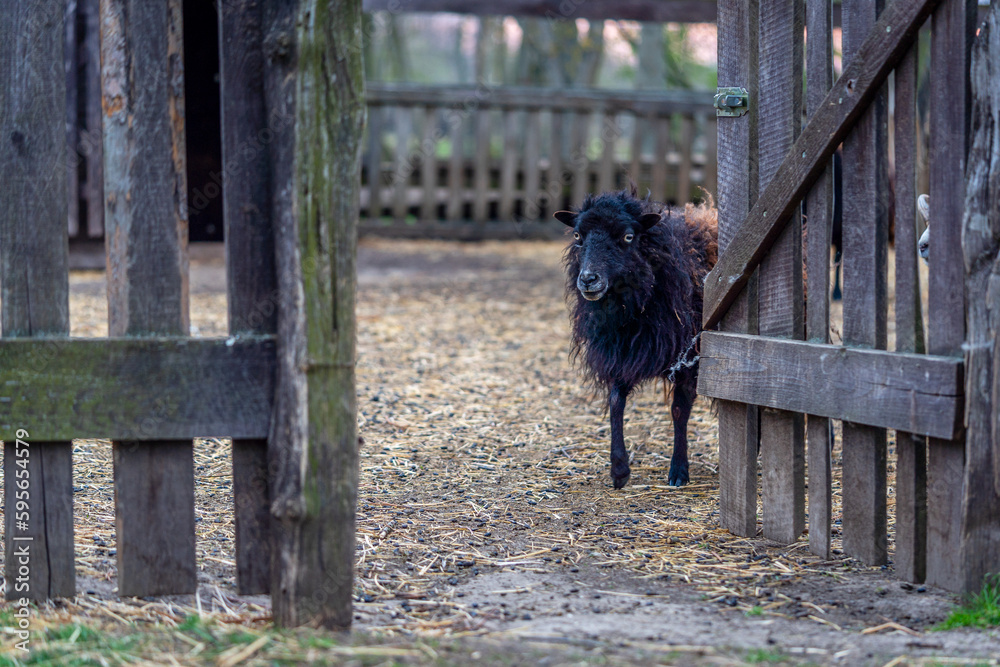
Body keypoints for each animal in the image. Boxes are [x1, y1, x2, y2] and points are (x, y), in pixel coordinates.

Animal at [555, 186, 718, 488]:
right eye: (577, 236)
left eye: (628, 236)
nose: (588, 280)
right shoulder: (621, 351)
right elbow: (615, 403)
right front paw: (619, 469)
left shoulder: (688, 358)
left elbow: (679, 410)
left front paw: (679, 470)